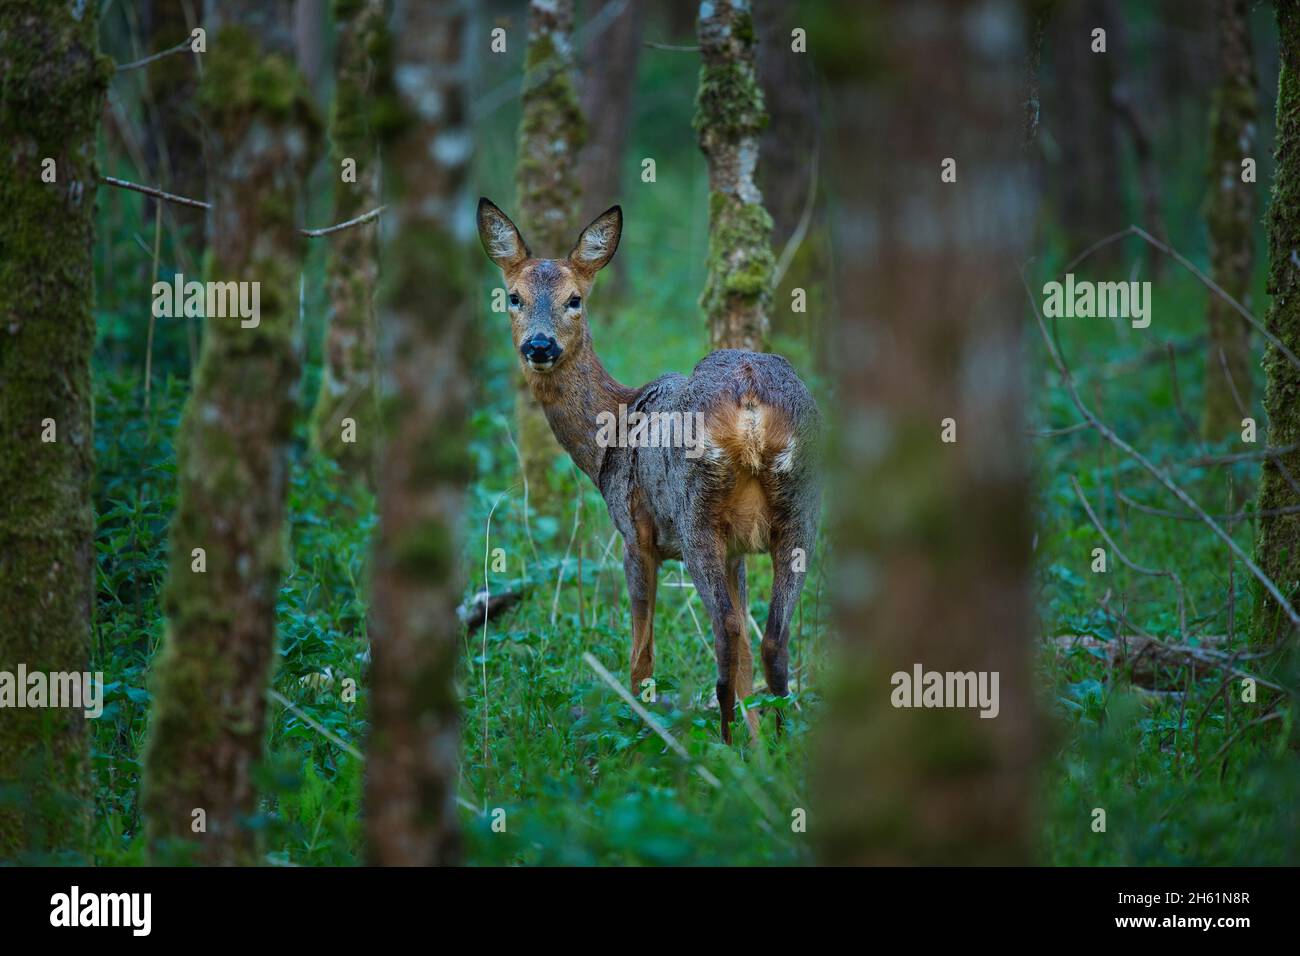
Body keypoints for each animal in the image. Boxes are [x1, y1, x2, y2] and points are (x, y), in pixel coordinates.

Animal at [476, 198, 821, 743]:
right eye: (513, 296)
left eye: (575, 299)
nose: (540, 345)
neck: (609, 437)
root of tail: (750, 400)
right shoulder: (738, 552)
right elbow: (749, 649)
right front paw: (756, 741)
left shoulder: (634, 532)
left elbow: (641, 654)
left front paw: (637, 731)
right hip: (800, 508)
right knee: (772, 637)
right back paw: (775, 744)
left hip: (696, 511)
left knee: (726, 631)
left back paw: (723, 744)